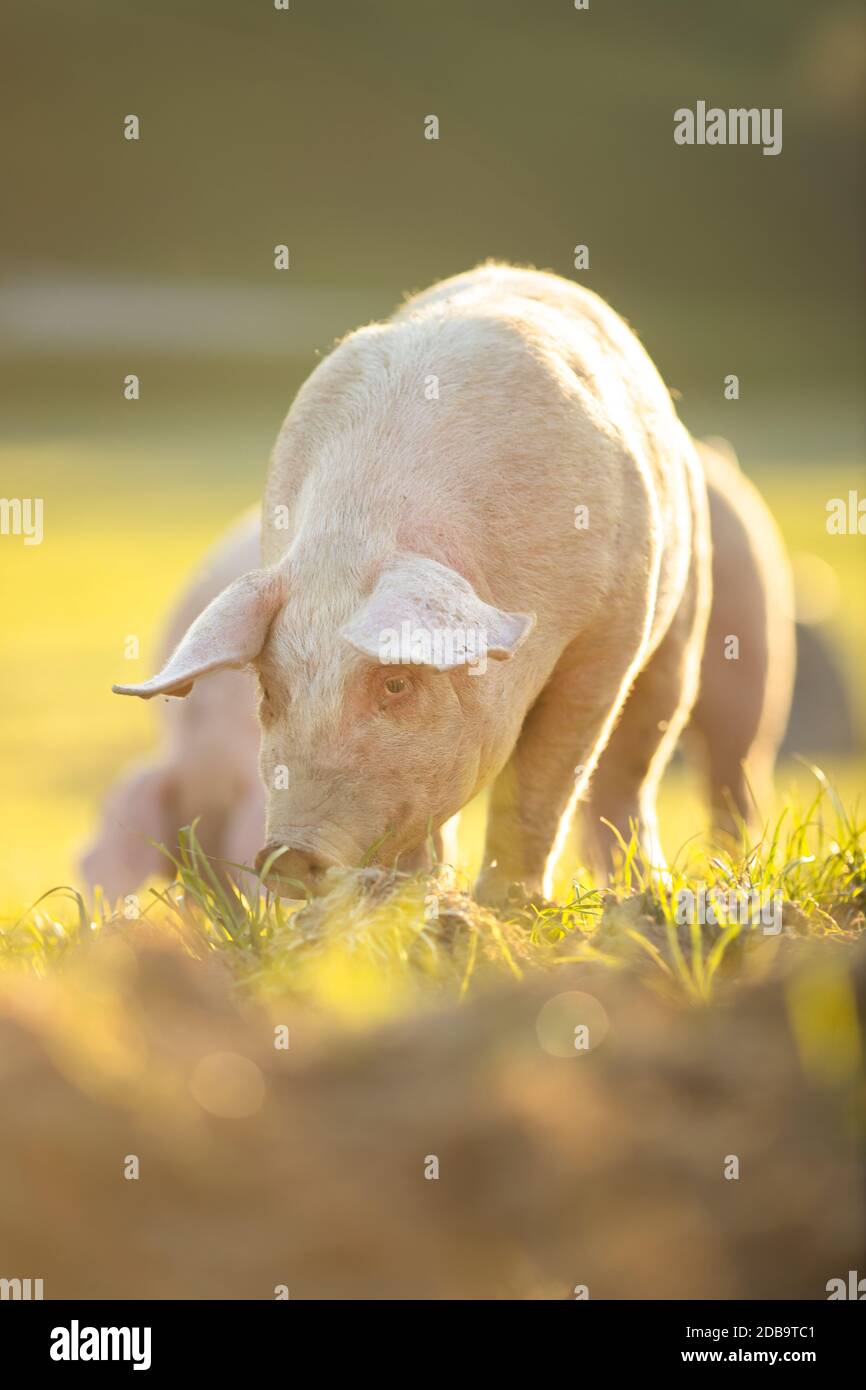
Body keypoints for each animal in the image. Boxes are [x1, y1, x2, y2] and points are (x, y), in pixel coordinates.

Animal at [111, 263, 790, 901]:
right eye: (269, 690)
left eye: (396, 683)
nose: (286, 855)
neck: (360, 532)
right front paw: (415, 903)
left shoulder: (606, 633)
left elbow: (547, 778)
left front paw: (509, 905)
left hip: (715, 631)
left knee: (673, 759)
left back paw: (656, 888)